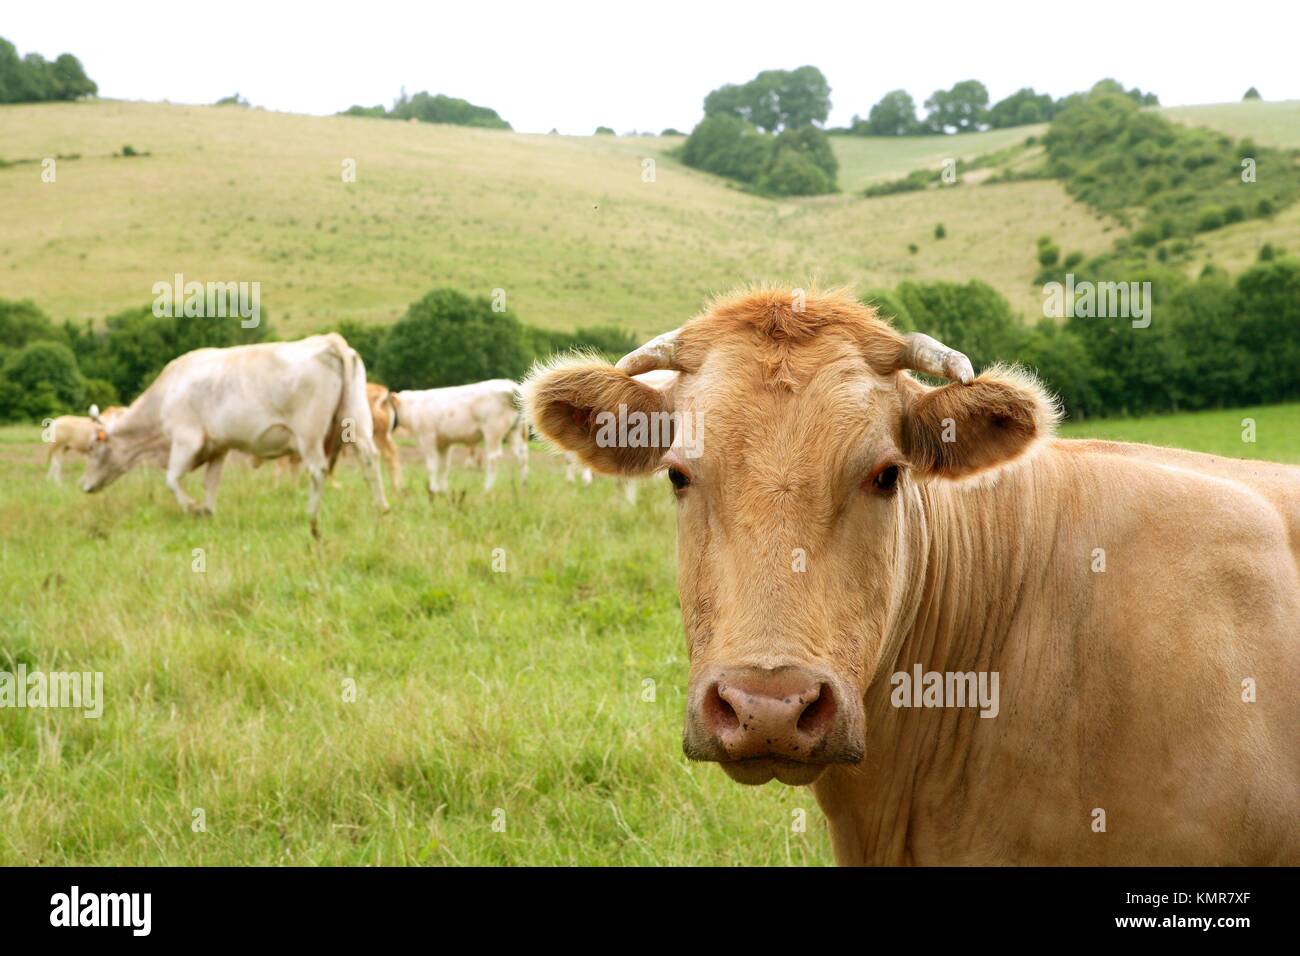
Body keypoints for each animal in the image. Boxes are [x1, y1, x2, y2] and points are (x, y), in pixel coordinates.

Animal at [81, 333, 389, 536]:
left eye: (94, 448)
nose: (82, 484)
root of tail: (330, 340)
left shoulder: (185, 440)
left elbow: (171, 480)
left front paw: (194, 509)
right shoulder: (218, 447)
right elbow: (210, 484)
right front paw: (208, 513)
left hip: (308, 434)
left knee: (317, 471)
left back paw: (311, 518)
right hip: (358, 420)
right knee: (370, 459)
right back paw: (381, 509)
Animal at [393, 379, 528, 494]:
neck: (413, 408)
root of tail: (510, 385)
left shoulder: (427, 438)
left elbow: (433, 466)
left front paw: (433, 489)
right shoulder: (444, 443)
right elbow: (444, 466)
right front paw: (443, 490)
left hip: (492, 431)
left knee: (493, 457)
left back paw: (487, 488)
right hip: (514, 431)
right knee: (521, 455)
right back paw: (522, 486)